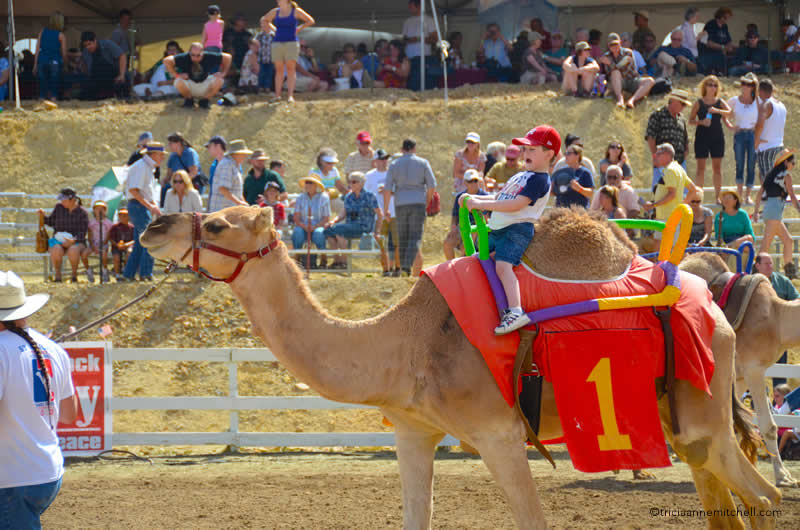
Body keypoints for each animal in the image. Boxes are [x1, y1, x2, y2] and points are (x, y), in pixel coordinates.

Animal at [140, 206, 781, 529]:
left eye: (217, 224)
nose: (149, 226)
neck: (404, 343)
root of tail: (714, 312)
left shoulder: (499, 435)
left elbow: (532, 522)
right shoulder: (412, 431)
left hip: (702, 407)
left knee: (763, 497)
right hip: (679, 417)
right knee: (724, 498)